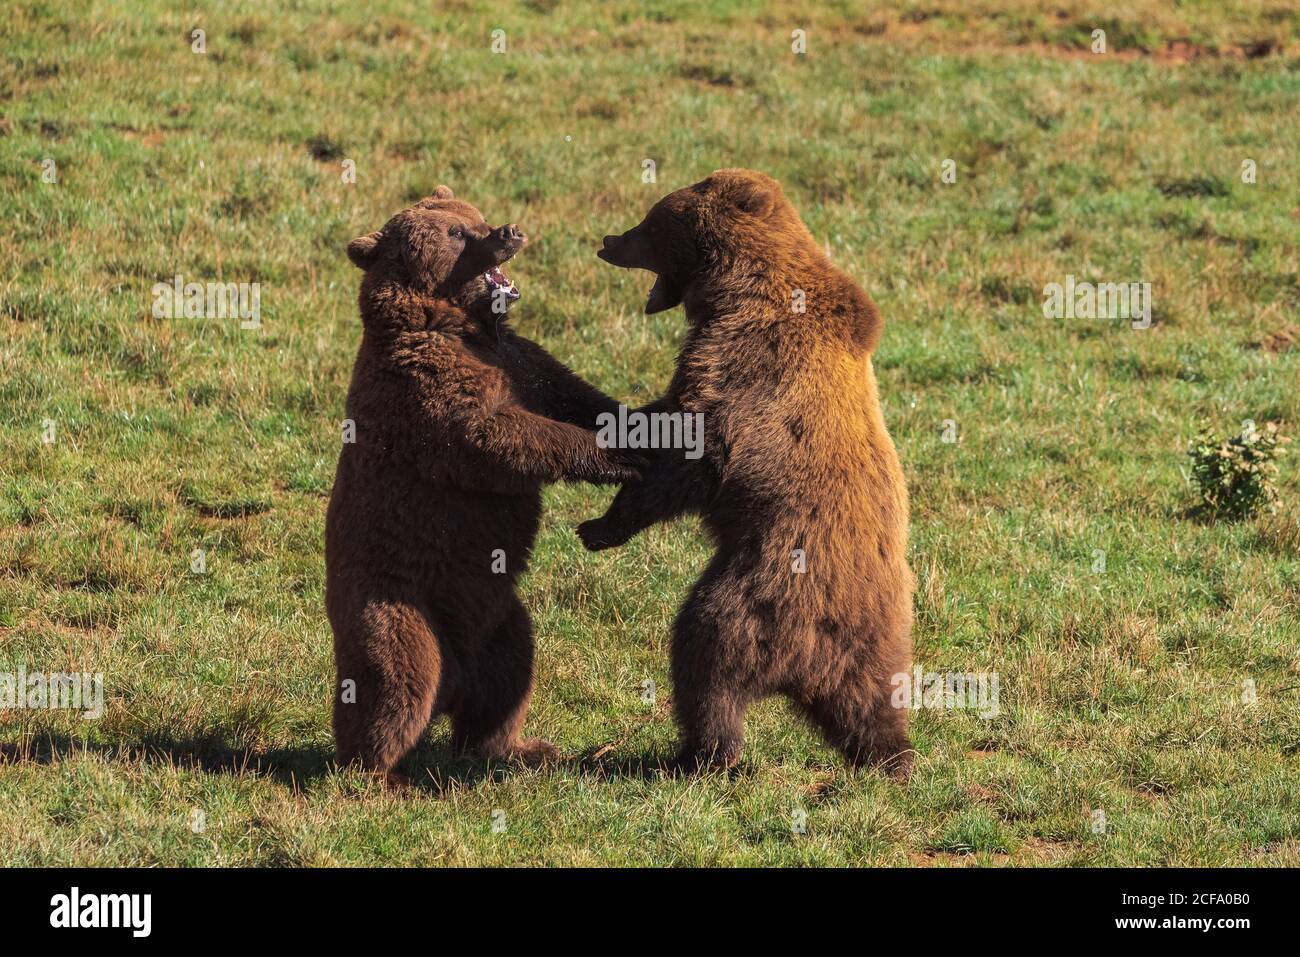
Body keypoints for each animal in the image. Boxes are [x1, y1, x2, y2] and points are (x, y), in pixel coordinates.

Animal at [325, 185, 640, 783]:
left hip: (499, 617)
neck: (458, 323)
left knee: (509, 676)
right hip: (393, 603)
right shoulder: (429, 390)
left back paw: (518, 748)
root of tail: (452, 685)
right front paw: (617, 459)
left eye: (474, 214)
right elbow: (497, 435)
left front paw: (645, 425)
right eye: (455, 233)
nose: (508, 231)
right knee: (395, 681)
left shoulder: (518, 358)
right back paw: (376, 774)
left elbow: (572, 393)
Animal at [578, 169, 915, 777]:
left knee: (705, 655)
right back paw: (891, 756)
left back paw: (700, 753)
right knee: (874, 702)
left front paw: (601, 525)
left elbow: (695, 453)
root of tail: (808, 661)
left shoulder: (743, 363)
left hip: (758, 592)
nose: (609, 242)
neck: (733, 285)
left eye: (650, 221)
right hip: (878, 636)